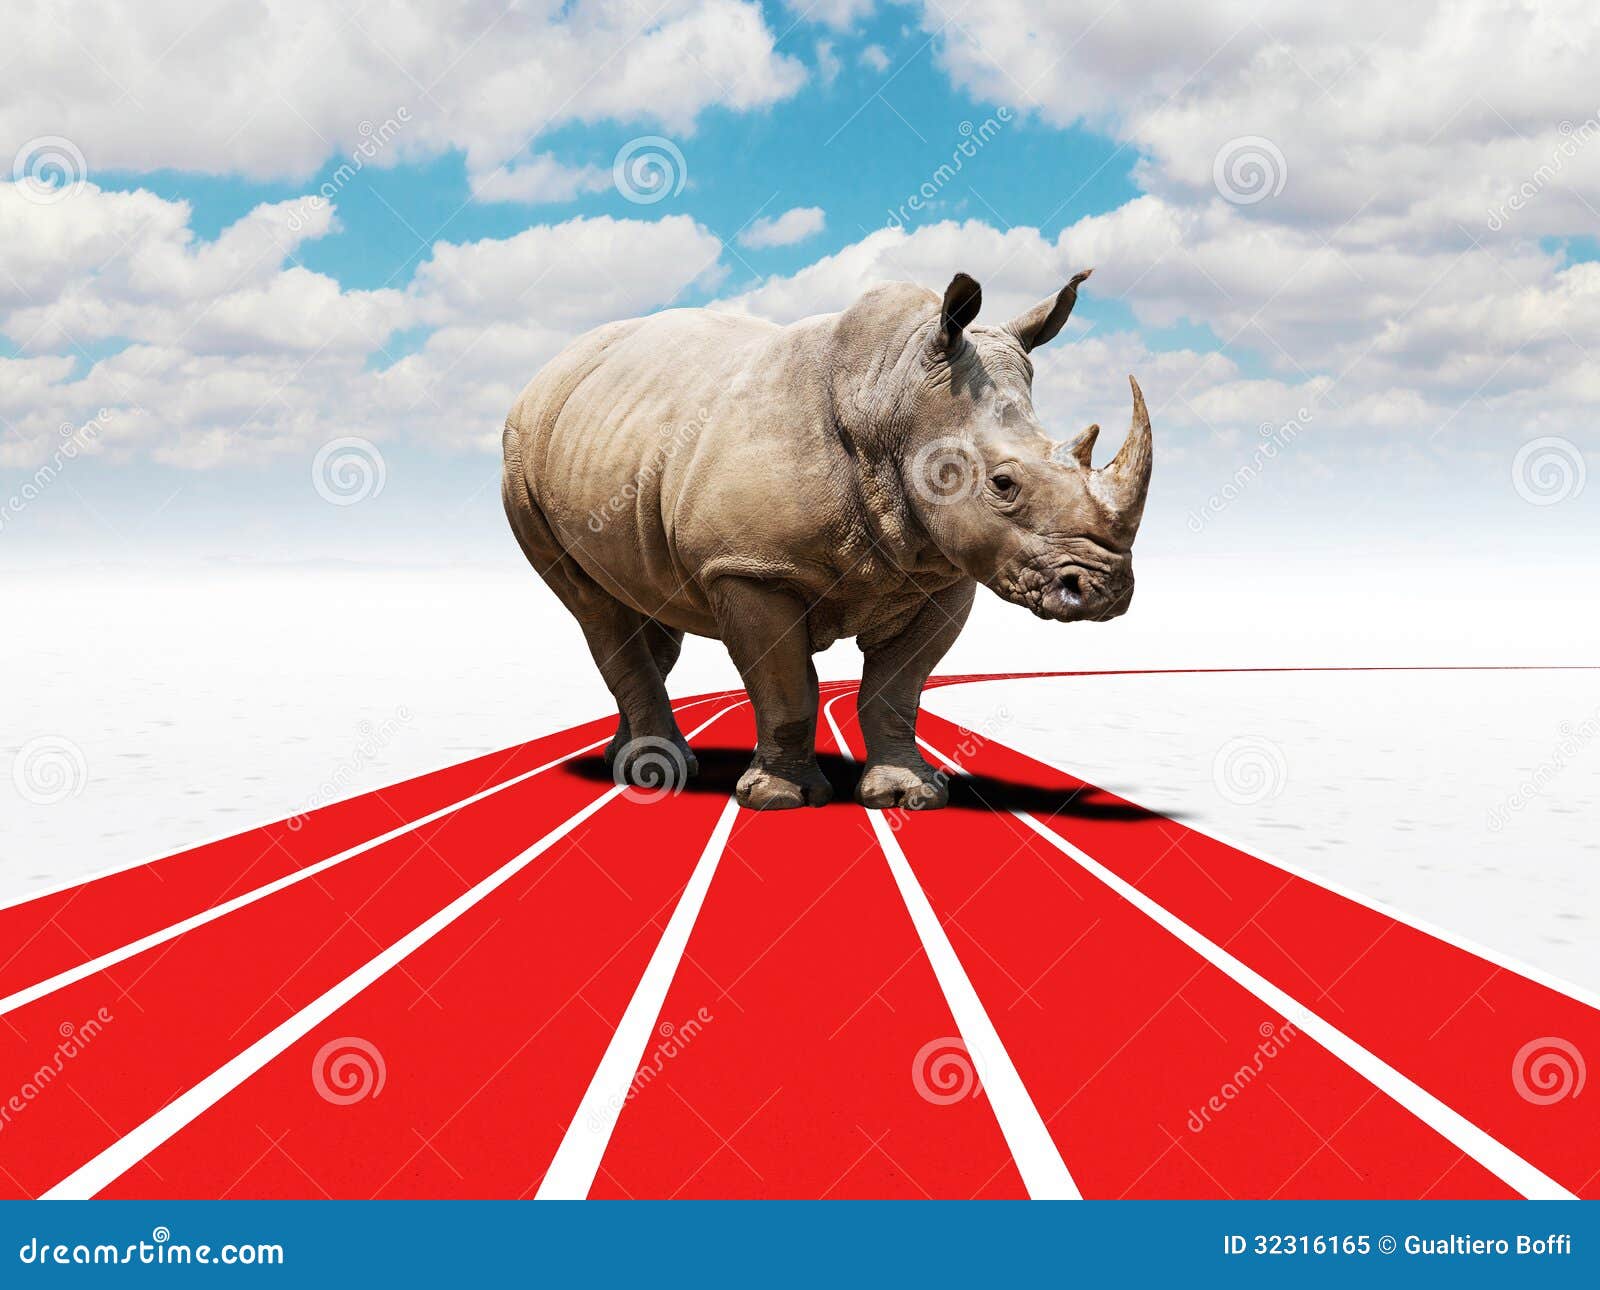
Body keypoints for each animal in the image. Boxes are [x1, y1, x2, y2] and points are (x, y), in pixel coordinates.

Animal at [502, 269, 1152, 810]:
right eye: (1003, 484)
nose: (1102, 591)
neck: (895, 399)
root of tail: (551, 368)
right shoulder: (749, 566)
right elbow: (787, 685)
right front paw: (779, 799)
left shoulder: (945, 573)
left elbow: (896, 688)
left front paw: (908, 794)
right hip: (520, 453)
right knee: (594, 607)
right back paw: (659, 773)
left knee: (648, 603)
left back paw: (629, 760)